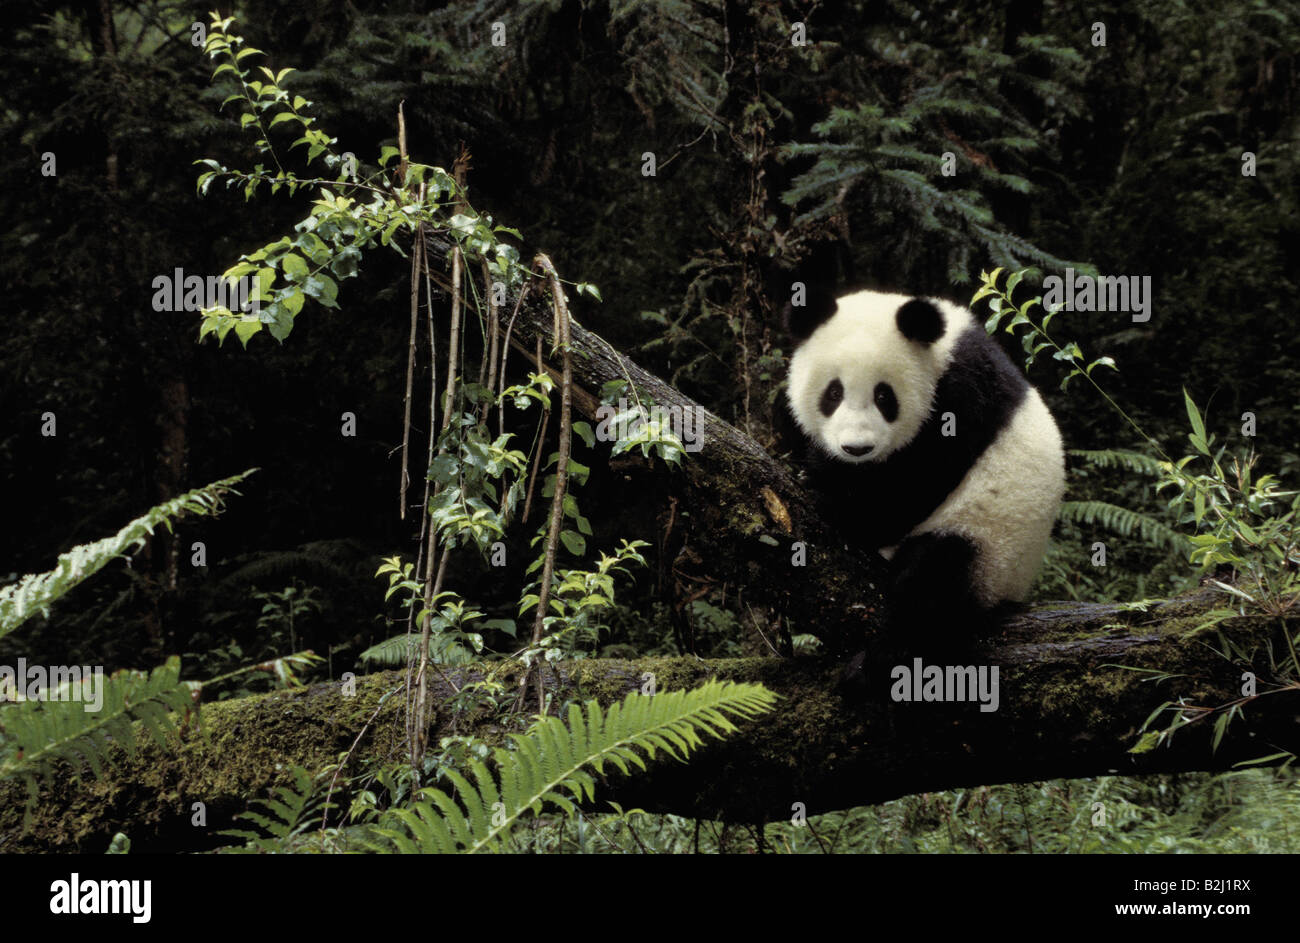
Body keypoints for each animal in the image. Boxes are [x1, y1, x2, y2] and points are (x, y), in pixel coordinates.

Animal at [784, 286, 1065, 649]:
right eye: (833, 393)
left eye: (884, 397)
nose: (857, 448)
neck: (940, 354)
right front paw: (815, 473)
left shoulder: (962, 397)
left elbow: (917, 486)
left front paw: (835, 503)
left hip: (991, 545)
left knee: (933, 587)